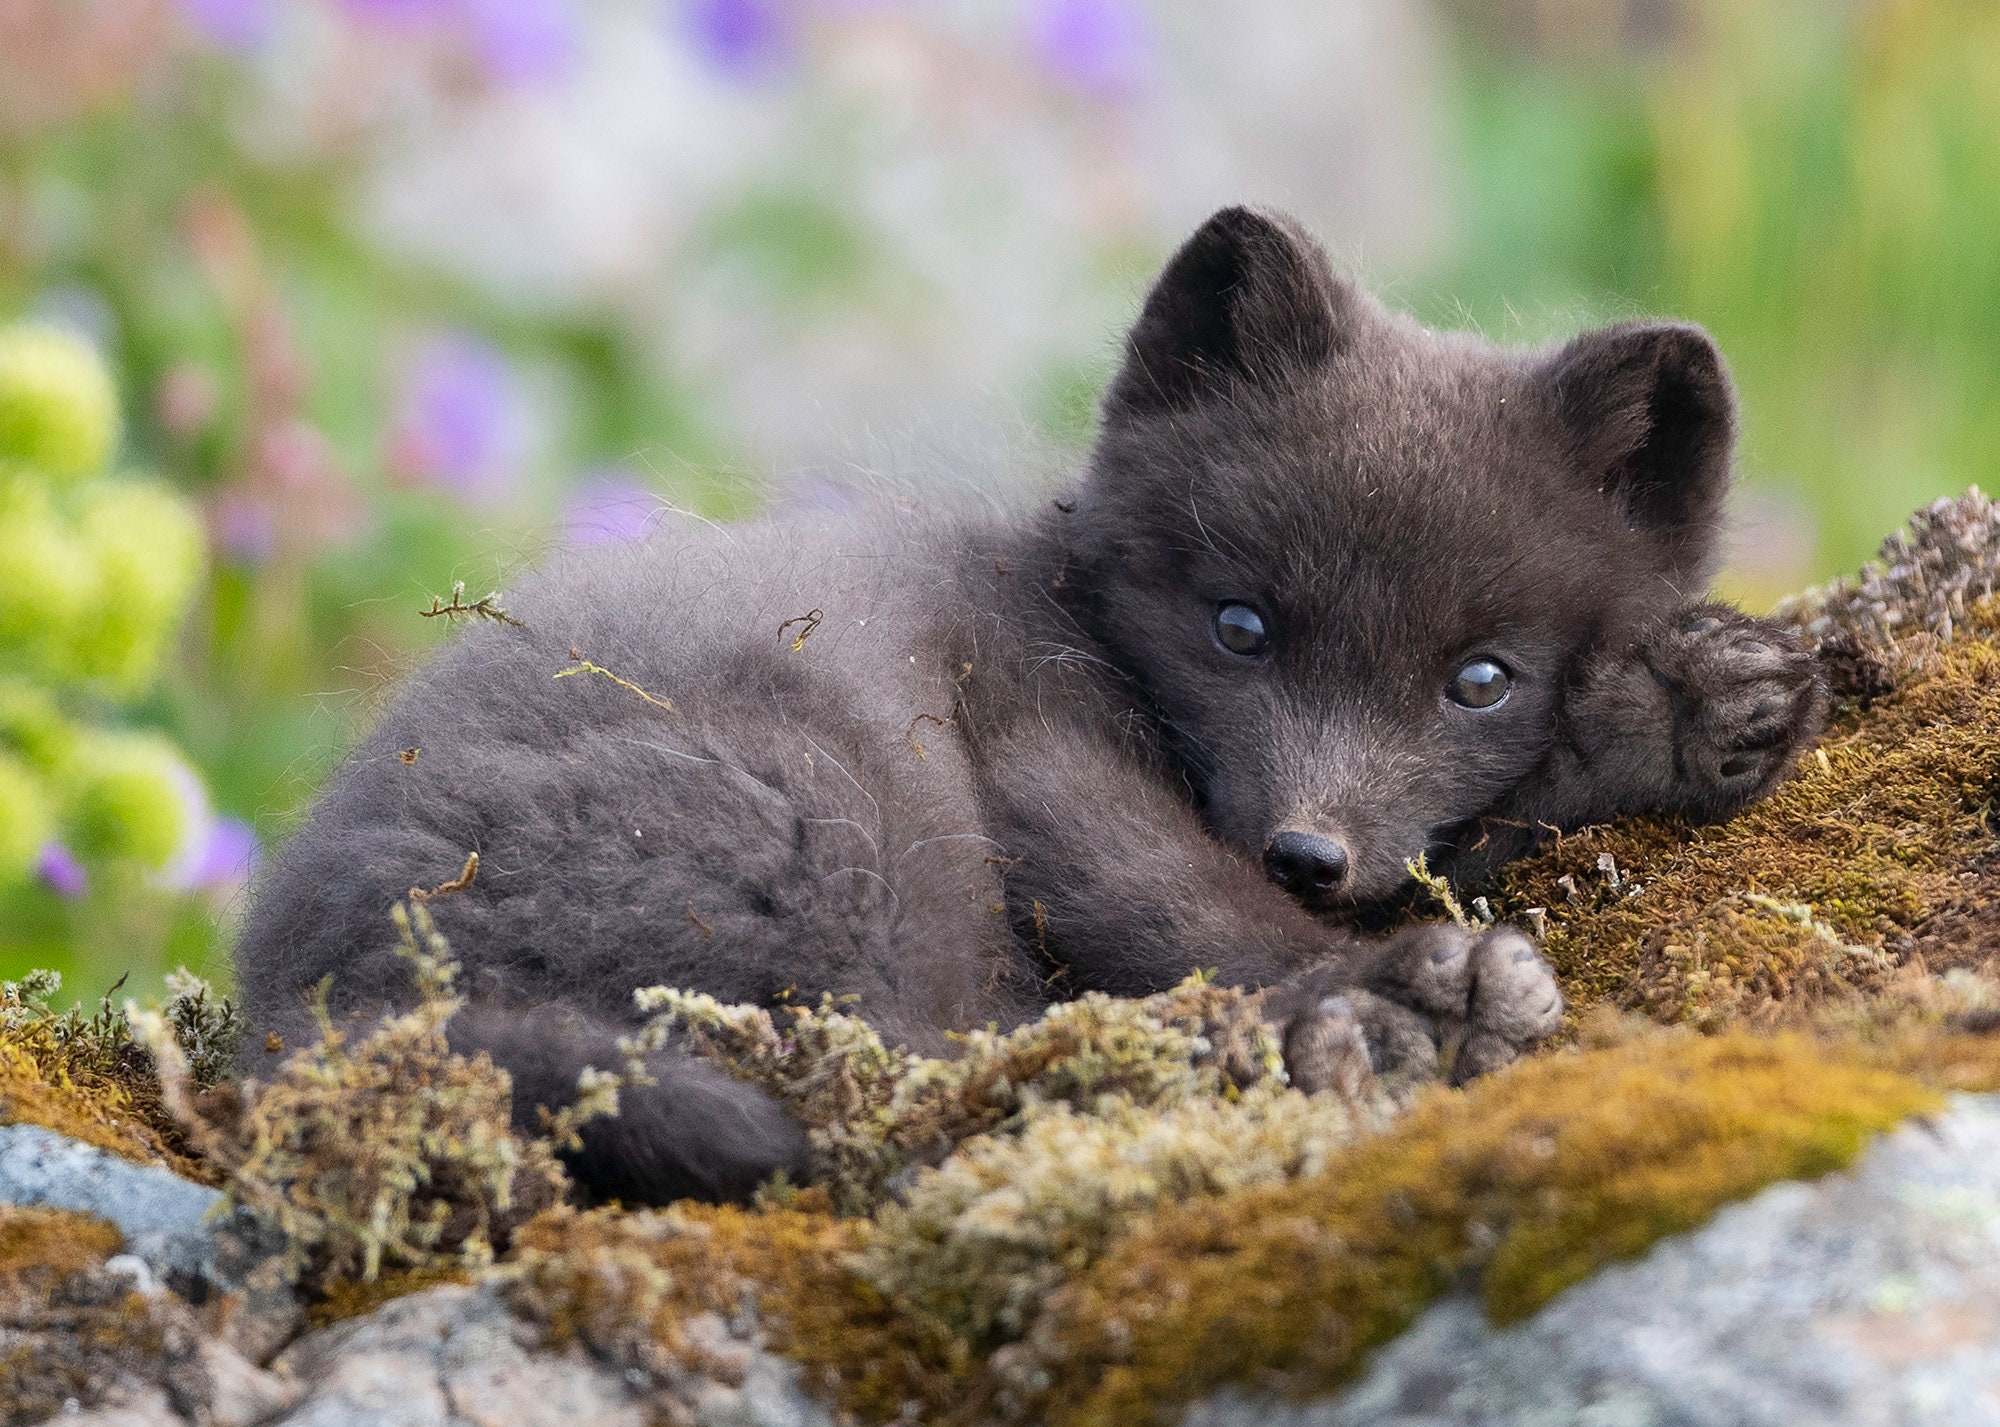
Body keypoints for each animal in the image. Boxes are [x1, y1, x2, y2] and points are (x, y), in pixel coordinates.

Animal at [233, 207, 1826, 1205]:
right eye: (1240, 626)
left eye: (1480, 677)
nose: (1306, 852)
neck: (1065, 602)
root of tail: (284, 1000)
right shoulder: (1028, 744)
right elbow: (1184, 904)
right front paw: (1387, 989)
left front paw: (1677, 708)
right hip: (842, 827)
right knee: (914, 1065)